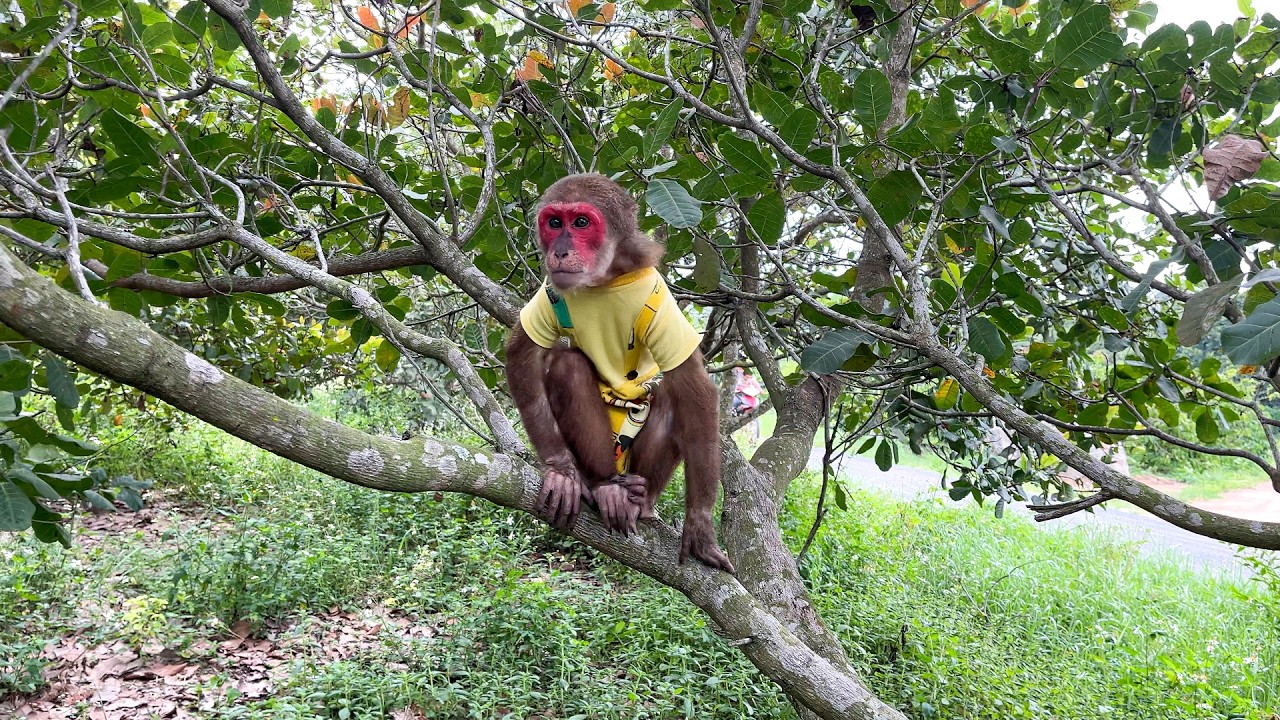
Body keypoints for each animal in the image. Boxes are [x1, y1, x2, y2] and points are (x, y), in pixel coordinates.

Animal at [505, 173, 734, 573]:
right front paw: (561, 469)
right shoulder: (549, 290)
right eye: (555, 223)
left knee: (672, 394)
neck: (605, 281)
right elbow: (522, 356)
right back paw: (602, 486)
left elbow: (695, 390)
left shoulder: (661, 298)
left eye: (581, 222)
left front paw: (701, 524)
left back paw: (640, 499)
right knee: (567, 366)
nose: (559, 251)